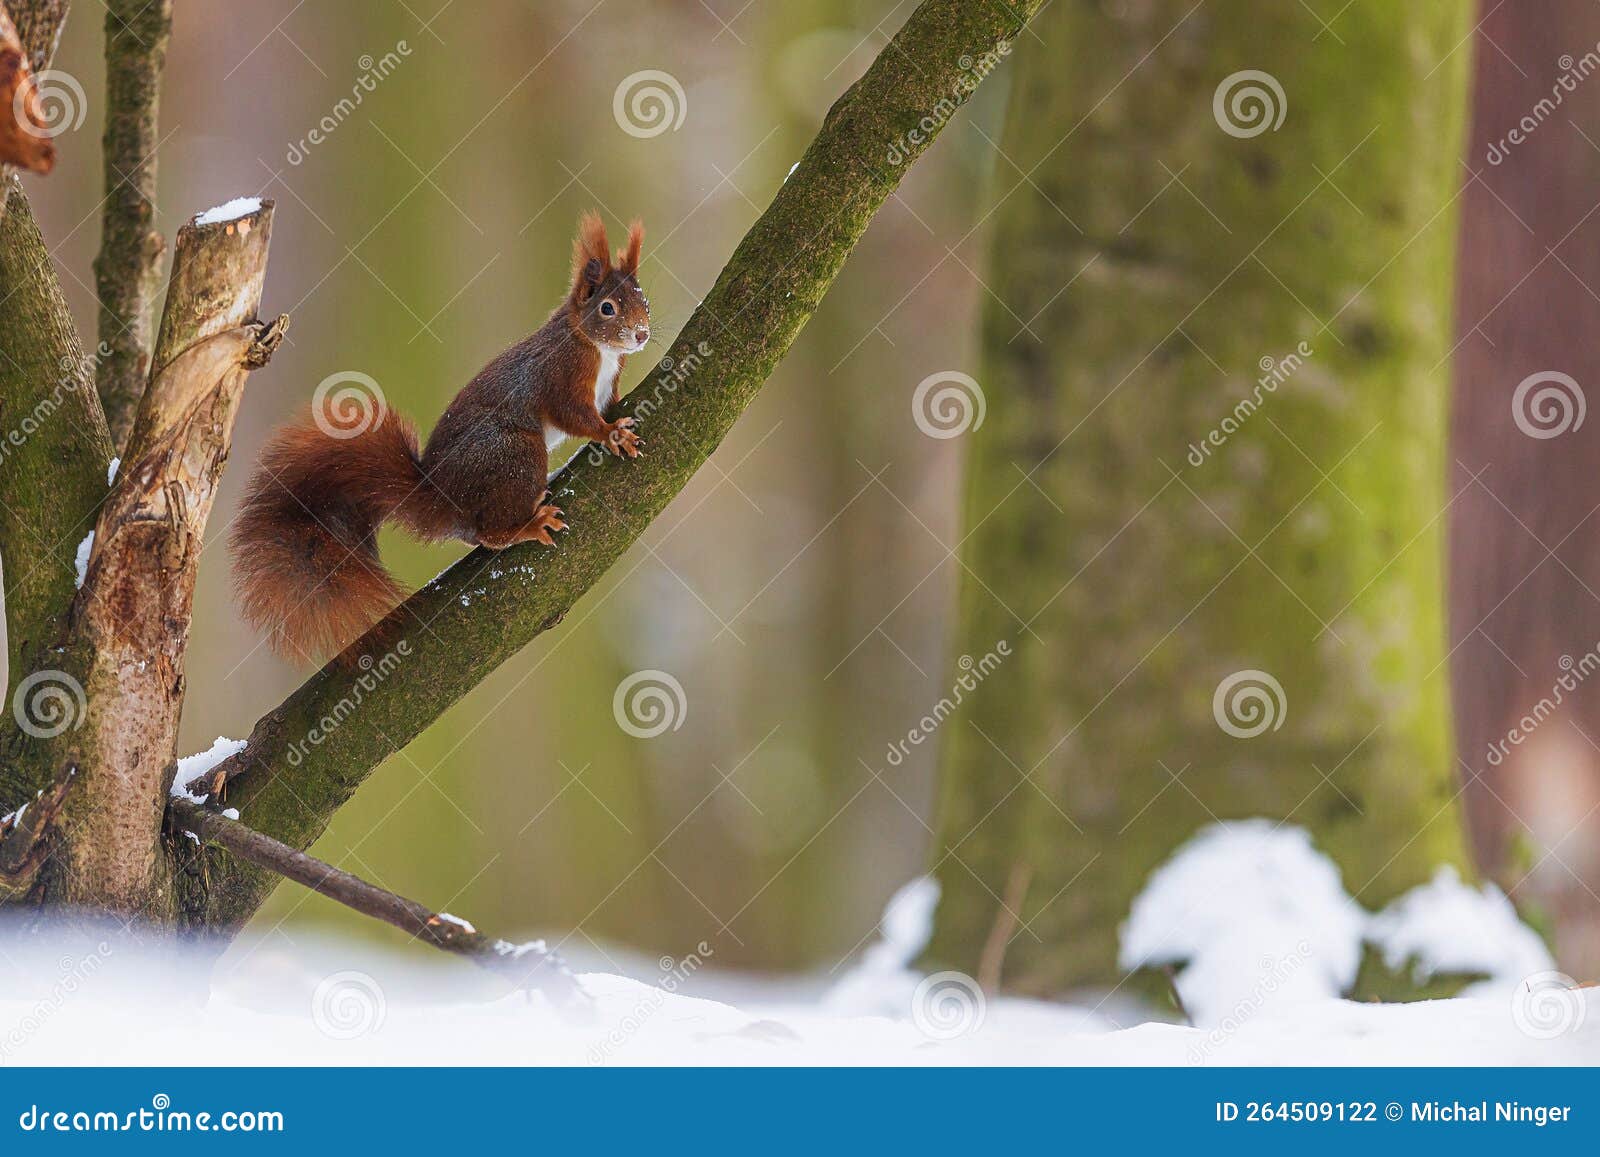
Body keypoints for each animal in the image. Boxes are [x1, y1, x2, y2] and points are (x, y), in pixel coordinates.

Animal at [230, 211, 649, 665]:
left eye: (644, 300)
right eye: (607, 308)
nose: (642, 334)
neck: (595, 347)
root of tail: (438, 496)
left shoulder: (606, 384)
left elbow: (608, 402)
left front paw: (615, 420)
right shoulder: (561, 373)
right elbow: (573, 415)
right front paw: (610, 434)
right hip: (513, 450)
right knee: (489, 535)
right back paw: (528, 524)